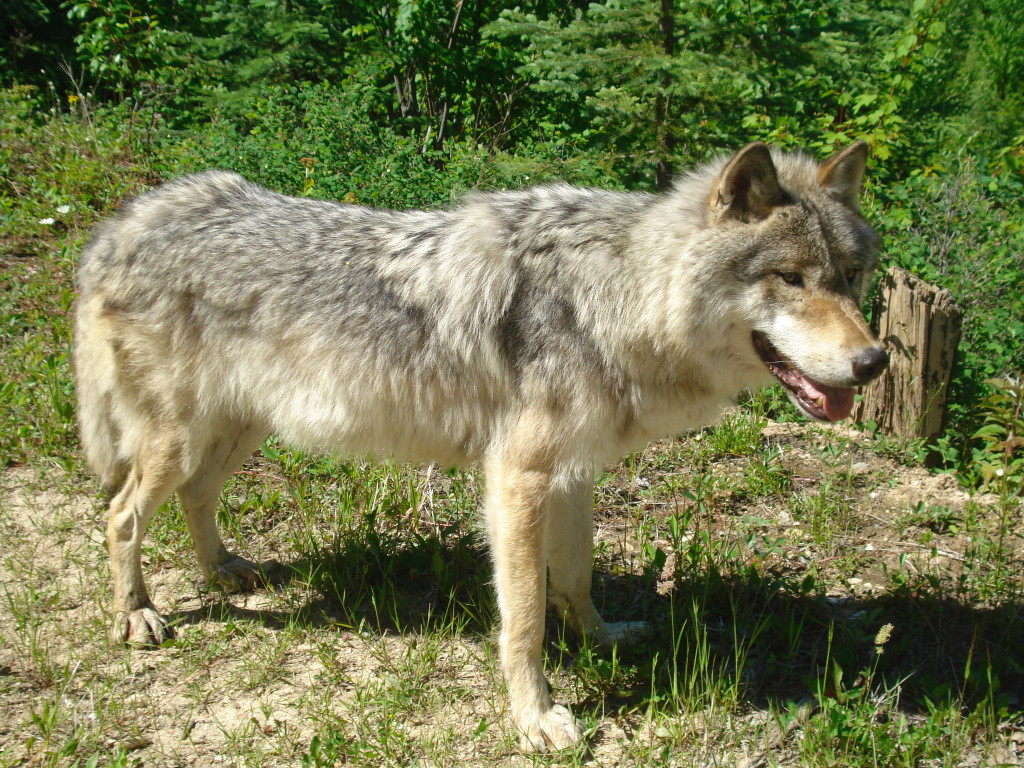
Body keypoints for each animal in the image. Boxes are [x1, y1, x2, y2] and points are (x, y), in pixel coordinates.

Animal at [75, 141, 887, 751]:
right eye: (790, 278)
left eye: (851, 278)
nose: (874, 362)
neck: (611, 297)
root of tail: (129, 220)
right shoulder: (517, 480)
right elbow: (524, 618)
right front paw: (537, 718)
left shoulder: (572, 474)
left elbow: (576, 578)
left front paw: (601, 638)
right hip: (179, 440)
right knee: (120, 515)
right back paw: (138, 615)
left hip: (237, 430)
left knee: (195, 495)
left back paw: (223, 573)